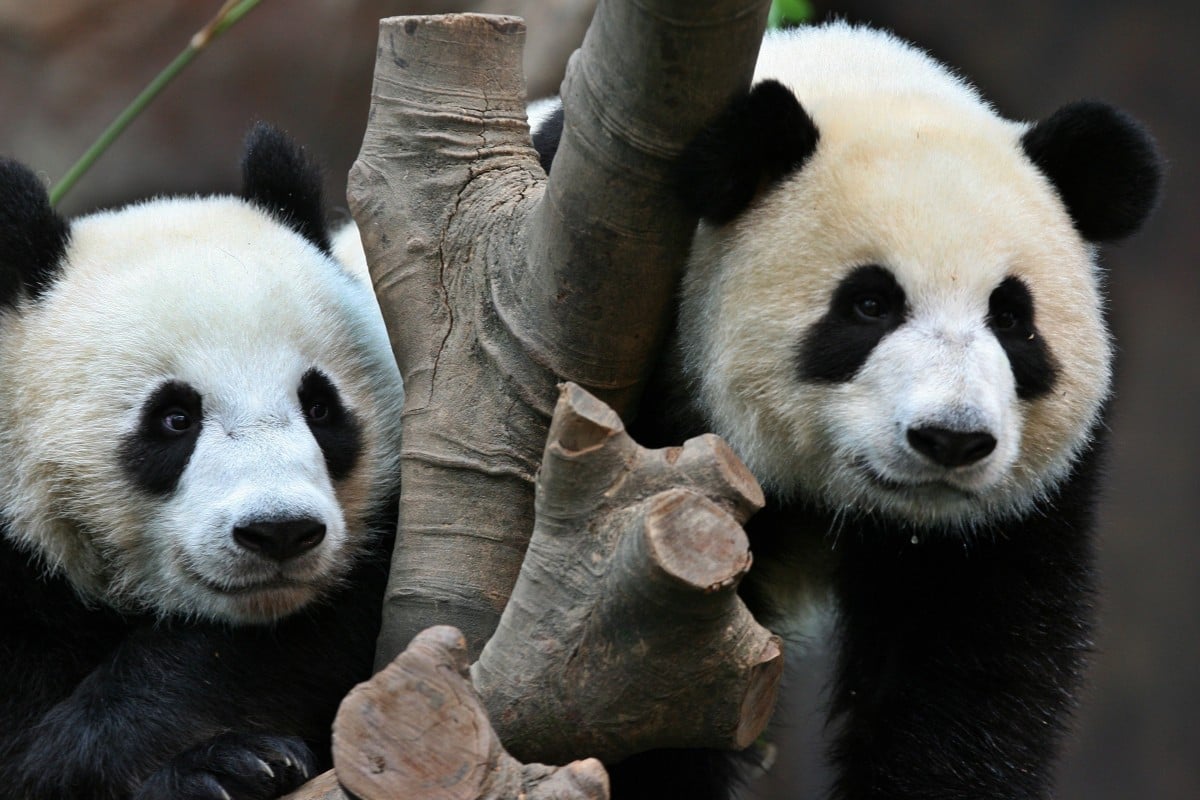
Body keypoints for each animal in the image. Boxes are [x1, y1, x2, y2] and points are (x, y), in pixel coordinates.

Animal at [532, 22, 1162, 800]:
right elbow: (647, 680)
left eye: (1013, 318)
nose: (950, 440)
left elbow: (966, 669)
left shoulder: (1015, 510)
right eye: (869, 304)